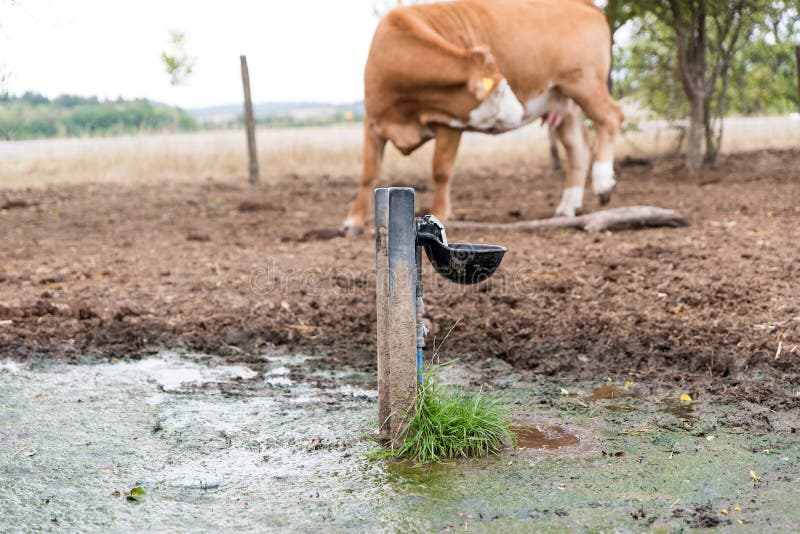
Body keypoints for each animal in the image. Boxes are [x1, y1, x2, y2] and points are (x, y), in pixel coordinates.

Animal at [343, 0, 624, 234]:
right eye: (499, 90)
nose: (519, 111)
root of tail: (584, 4)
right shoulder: (373, 122)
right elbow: (369, 173)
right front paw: (353, 222)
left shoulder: (450, 123)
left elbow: (441, 170)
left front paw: (439, 213)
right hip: (563, 103)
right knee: (578, 148)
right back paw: (567, 207)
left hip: (584, 83)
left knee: (611, 117)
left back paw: (602, 182)